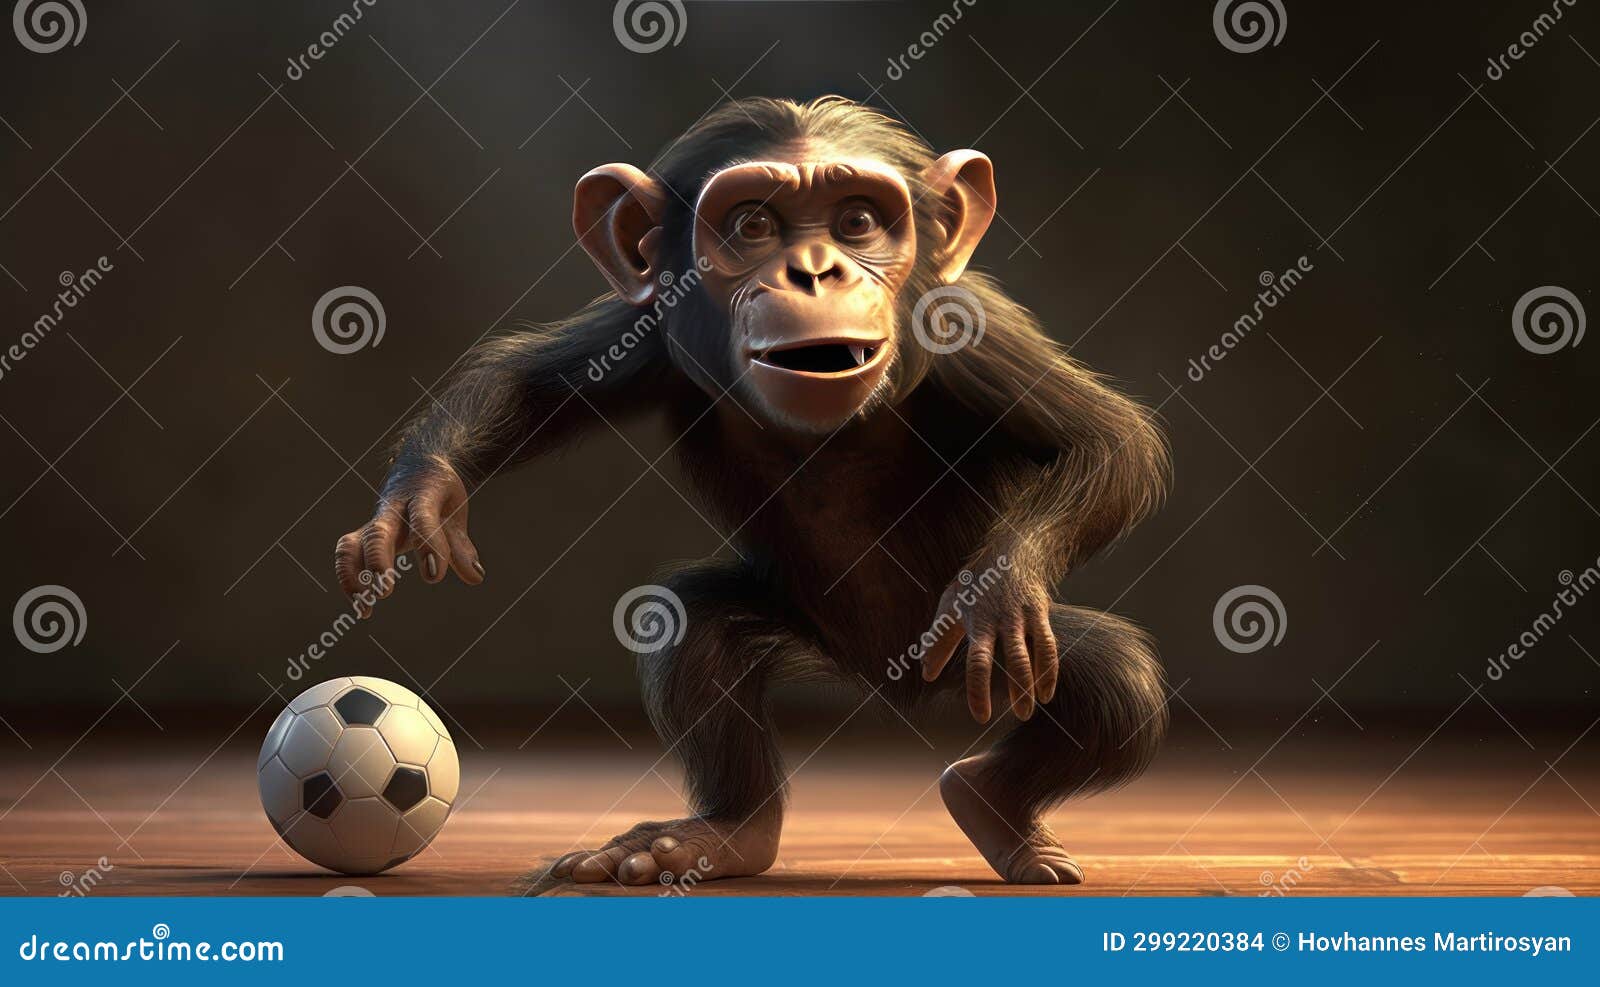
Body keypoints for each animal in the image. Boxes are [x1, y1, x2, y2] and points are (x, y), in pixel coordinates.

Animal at [334, 97, 1169, 886]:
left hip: (963, 662)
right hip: (807, 628)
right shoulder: (654, 321)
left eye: (858, 220)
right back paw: (725, 833)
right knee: (696, 628)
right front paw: (420, 501)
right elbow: (528, 387)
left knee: (1114, 687)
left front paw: (998, 588)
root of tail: (885, 685)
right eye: (752, 224)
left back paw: (992, 803)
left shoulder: (972, 329)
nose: (815, 271)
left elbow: (1107, 441)